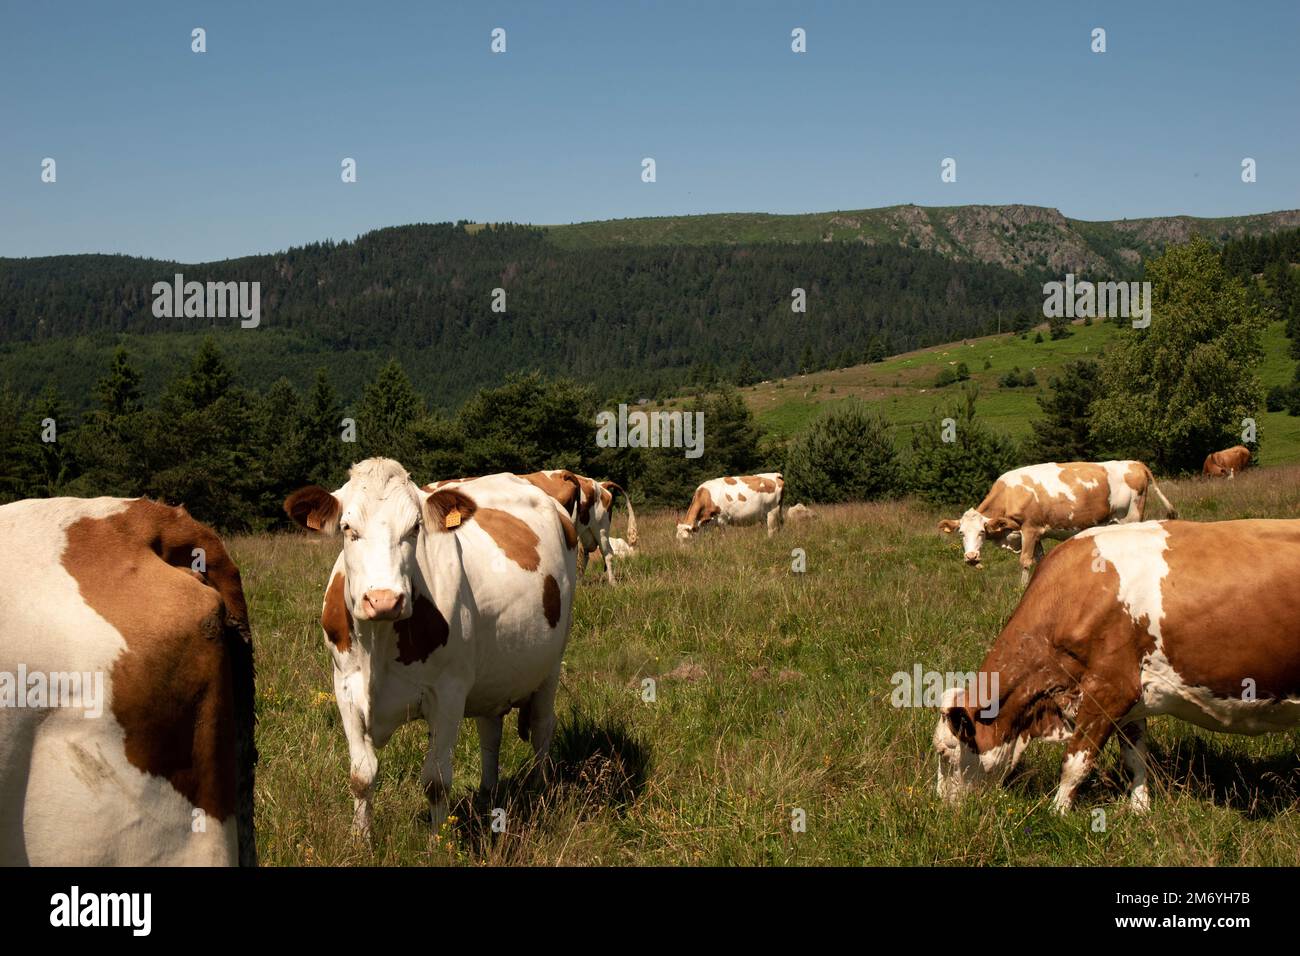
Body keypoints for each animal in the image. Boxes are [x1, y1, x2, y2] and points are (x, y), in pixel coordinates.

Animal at [285, 460, 577, 837]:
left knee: (542, 728)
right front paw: (360, 838)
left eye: (414, 528)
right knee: (490, 731)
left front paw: (439, 841)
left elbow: (436, 780)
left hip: (550, 665)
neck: (377, 643)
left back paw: (540, 791)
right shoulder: (345, 687)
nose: (384, 600)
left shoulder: (449, 691)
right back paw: (488, 791)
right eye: (348, 528)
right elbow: (361, 775)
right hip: (492, 676)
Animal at [935, 518, 1300, 814]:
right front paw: (1140, 809)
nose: (941, 807)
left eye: (944, 752)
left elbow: (1076, 762)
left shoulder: (1109, 689)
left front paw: (1057, 814)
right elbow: (1134, 758)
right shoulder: (1133, 697)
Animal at [938, 460, 1177, 586]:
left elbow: (1025, 561)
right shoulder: (1037, 534)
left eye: (981, 531)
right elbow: (1040, 559)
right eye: (961, 533)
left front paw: (1020, 589)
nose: (971, 557)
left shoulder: (1030, 529)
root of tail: (1135, 462)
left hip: (1131, 517)